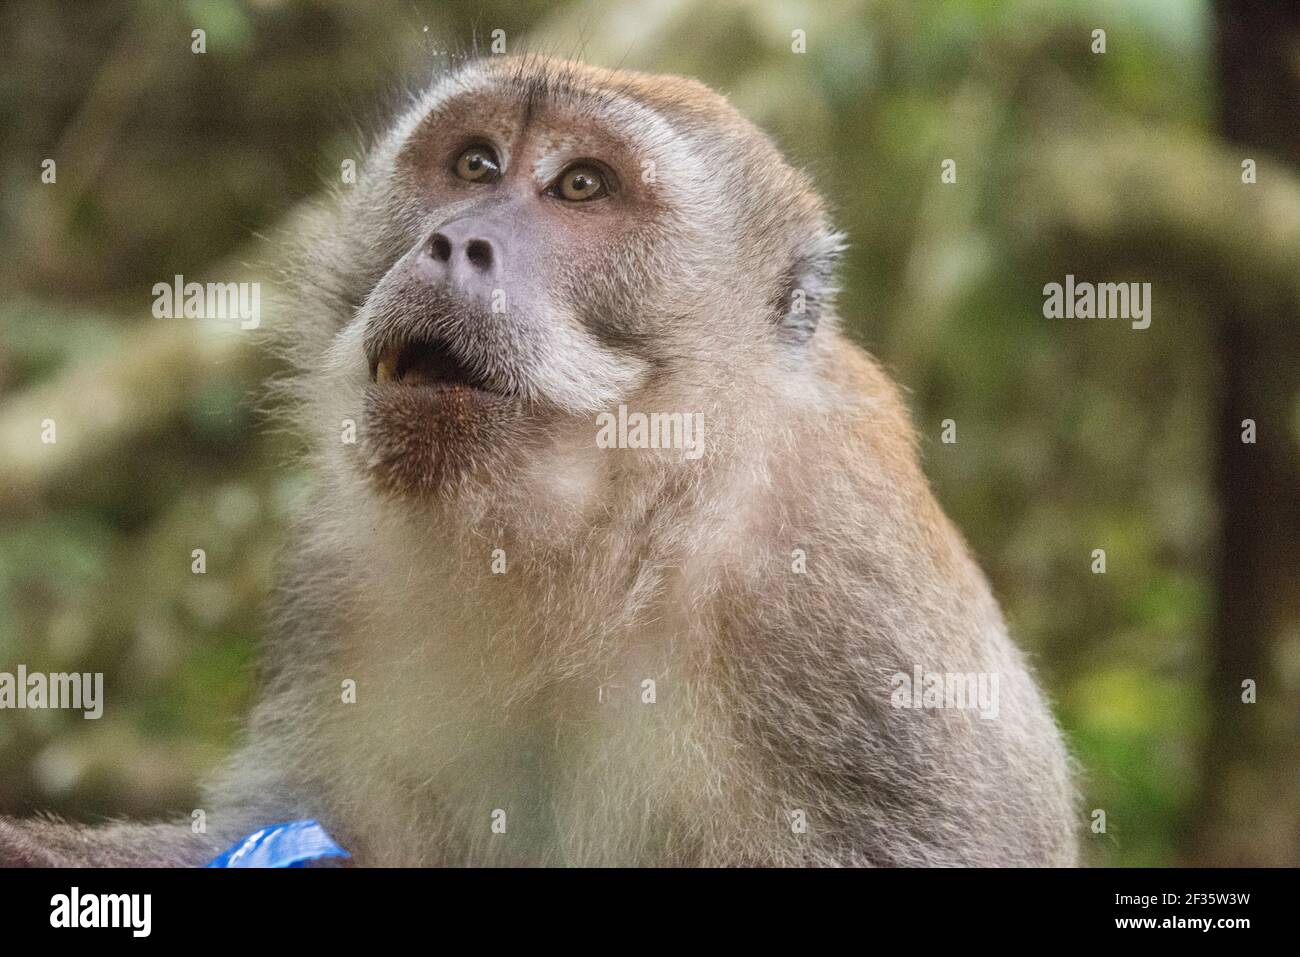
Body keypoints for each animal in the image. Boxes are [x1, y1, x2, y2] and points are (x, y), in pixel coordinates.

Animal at [0, 56, 1077, 867]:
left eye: (582, 185)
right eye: (474, 164)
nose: (452, 242)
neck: (610, 544)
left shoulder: (852, 614)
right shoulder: (337, 575)